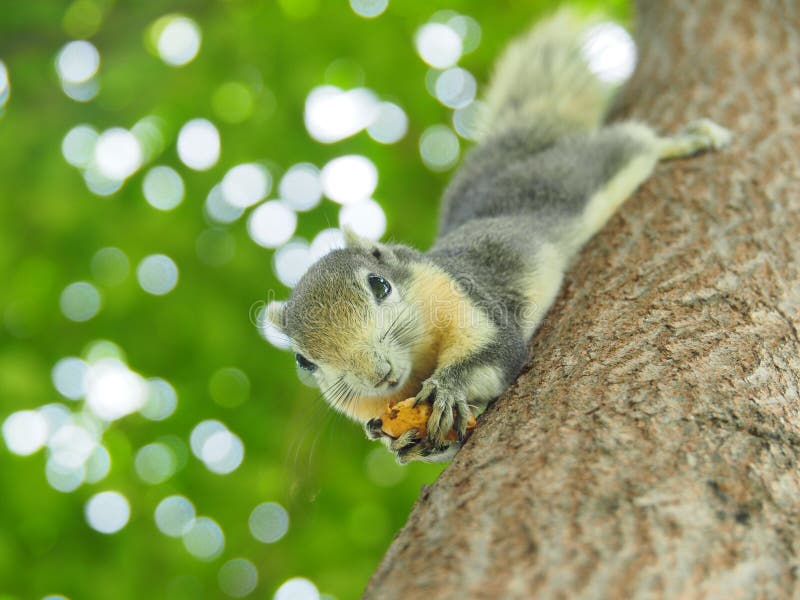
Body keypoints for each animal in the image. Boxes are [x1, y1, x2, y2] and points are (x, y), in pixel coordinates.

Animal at [266, 10, 731, 463]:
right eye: (303, 361)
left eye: (379, 285)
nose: (377, 374)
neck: (417, 361)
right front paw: (405, 442)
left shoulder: (473, 300)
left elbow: (494, 355)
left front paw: (449, 386)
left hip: (571, 177)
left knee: (630, 145)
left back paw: (688, 139)